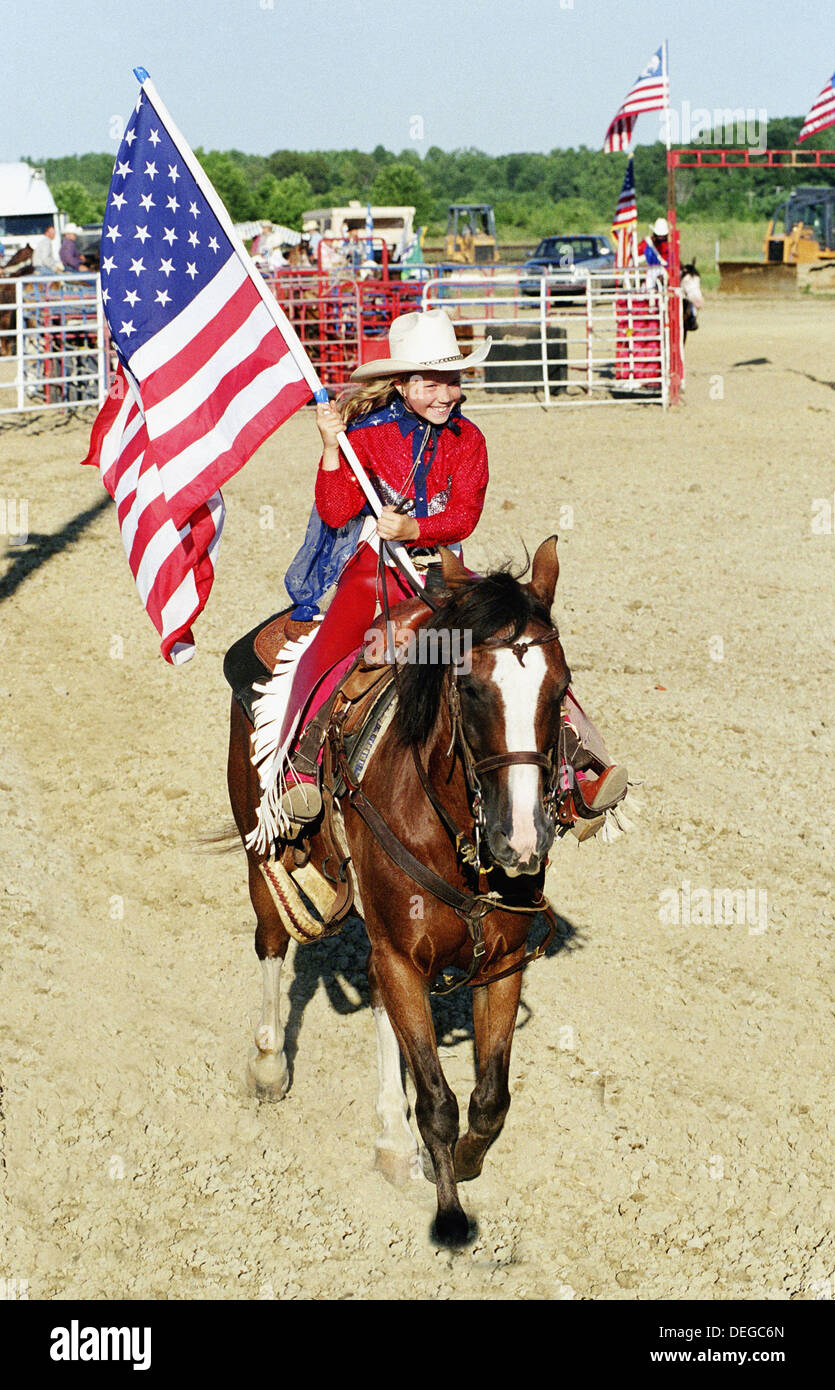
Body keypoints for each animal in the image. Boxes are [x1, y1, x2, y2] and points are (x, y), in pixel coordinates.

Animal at [227, 537, 572, 1246]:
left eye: (562, 687)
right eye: (468, 688)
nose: (521, 840)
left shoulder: (499, 964)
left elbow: (489, 1099)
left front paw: (462, 1161)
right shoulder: (403, 955)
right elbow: (438, 1101)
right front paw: (450, 1216)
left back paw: (392, 1139)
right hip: (261, 854)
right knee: (272, 944)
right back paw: (270, 1066)